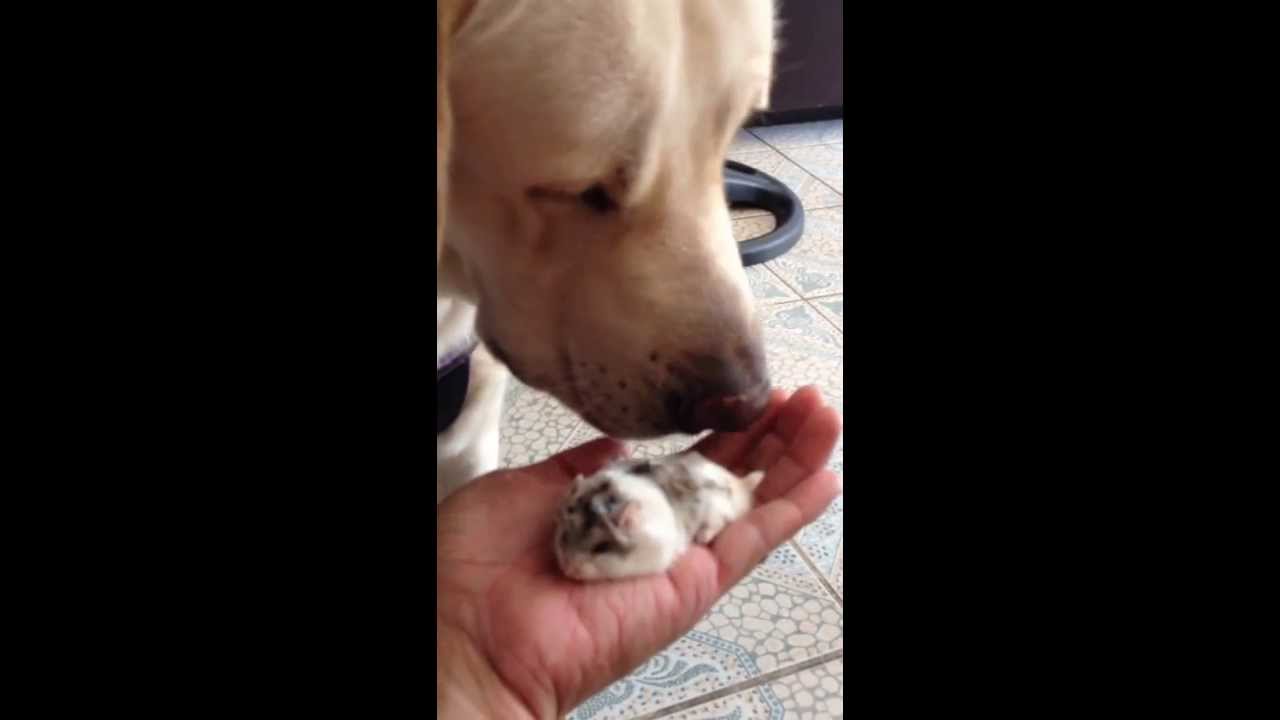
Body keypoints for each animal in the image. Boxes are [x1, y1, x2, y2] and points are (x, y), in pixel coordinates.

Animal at [553, 451, 765, 581]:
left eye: (601, 548)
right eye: (564, 536)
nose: (567, 571)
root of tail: (740, 485)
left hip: (716, 511)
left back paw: (701, 538)